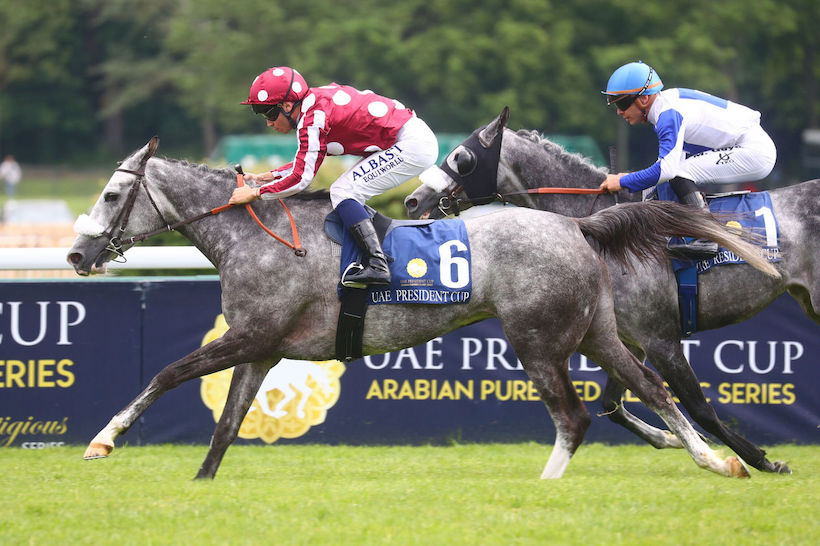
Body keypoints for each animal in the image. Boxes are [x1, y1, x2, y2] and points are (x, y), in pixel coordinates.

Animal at [66, 137, 778, 480]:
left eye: (111, 196)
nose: (75, 254)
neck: (257, 235)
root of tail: (577, 226)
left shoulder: (248, 337)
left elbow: (166, 374)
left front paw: (102, 440)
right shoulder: (261, 348)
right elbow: (225, 425)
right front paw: (201, 482)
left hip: (538, 338)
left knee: (577, 415)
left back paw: (550, 484)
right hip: (595, 330)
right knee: (652, 387)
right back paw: (719, 460)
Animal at [404, 107, 817, 474]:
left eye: (462, 158)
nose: (413, 200)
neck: (601, 230)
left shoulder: (660, 338)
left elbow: (699, 406)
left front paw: (760, 459)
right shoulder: (628, 337)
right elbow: (616, 404)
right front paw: (673, 439)